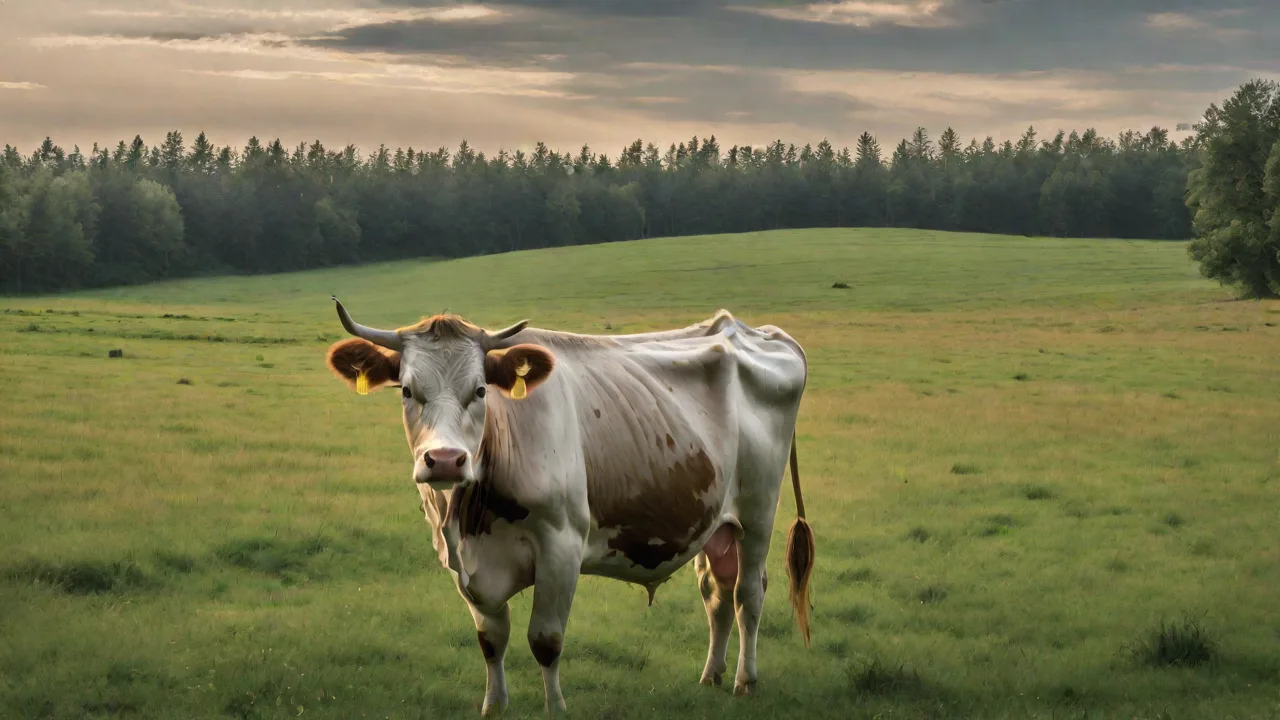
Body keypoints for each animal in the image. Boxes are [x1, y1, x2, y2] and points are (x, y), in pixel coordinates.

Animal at [322, 297, 814, 716]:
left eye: (480, 390)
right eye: (407, 391)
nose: (444, 459)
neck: (470, 519)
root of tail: (752, 330)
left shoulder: (561, 545)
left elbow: (546, 640)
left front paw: (555, 708)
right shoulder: (460, 562)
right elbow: (491, 641)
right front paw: (494, 706)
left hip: (759, 510)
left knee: (748, 593)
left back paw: (745, 680)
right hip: (716, 521)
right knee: (717, 593)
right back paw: (711, 675)